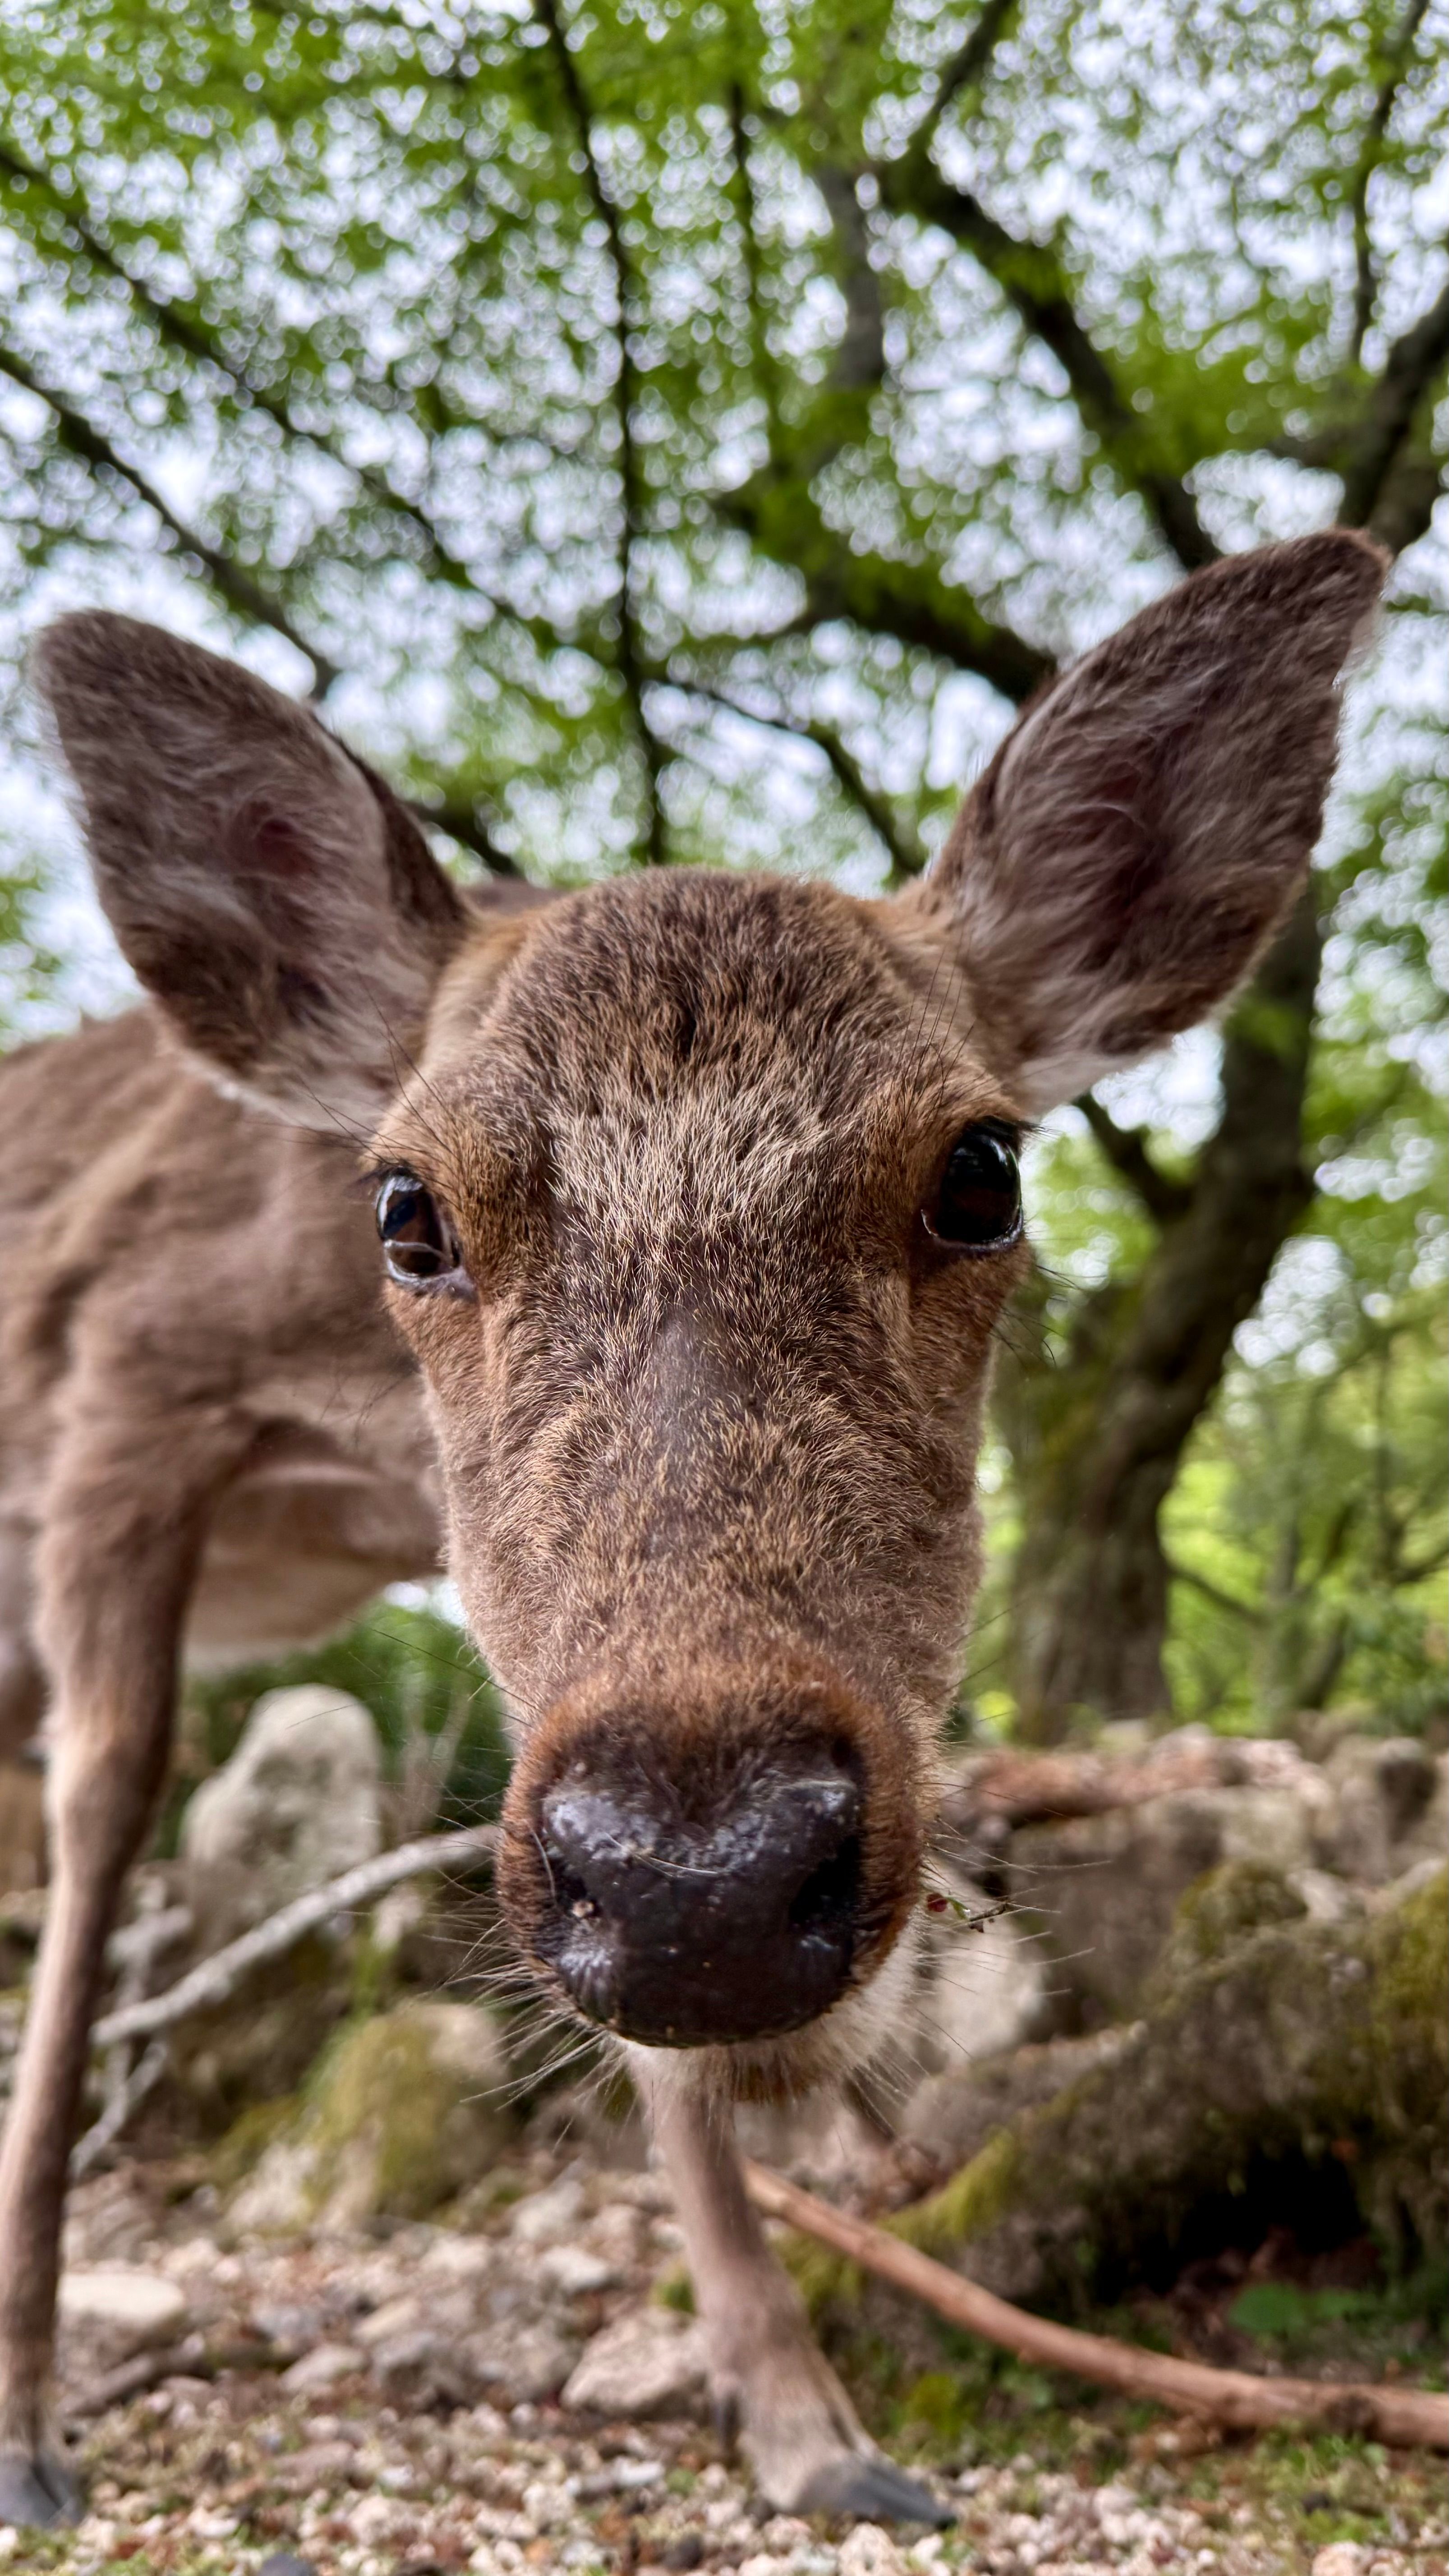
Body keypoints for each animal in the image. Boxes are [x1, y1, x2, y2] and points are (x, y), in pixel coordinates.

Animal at [0, 530, 1383, 2530]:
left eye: (981, 1169)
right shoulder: (119, 1381)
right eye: (406, 1207)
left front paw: (812, 2426)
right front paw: (27, 2425)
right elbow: (106, 1825)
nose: (705, 1881)